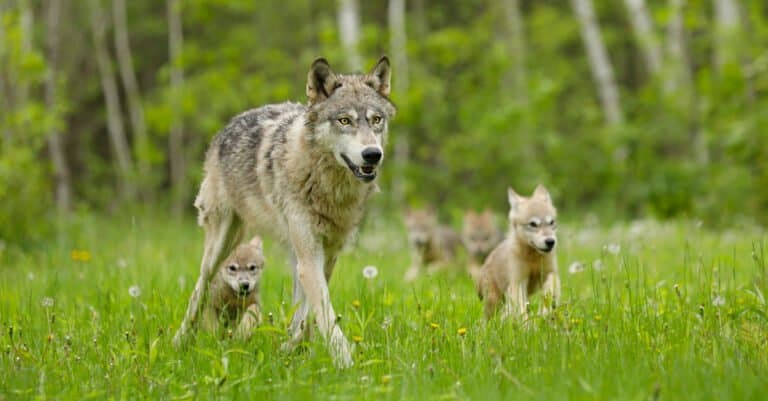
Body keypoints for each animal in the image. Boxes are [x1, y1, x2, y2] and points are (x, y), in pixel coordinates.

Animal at [172, 57, 395, 368]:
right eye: (344, 120)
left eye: (376, 120)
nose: (372, 154)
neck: (327, 186)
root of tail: (230, 124)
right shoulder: (310, 256)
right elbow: (325, 315)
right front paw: (346, 364)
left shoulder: (326, 256)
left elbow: (309, 316)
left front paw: (291, 350)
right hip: (221, 245)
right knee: (199, 289)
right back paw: (180, 341)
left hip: (292, 253)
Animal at [478, 185, 561, 320]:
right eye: (533, 224)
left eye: (552, 222)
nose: (550, 241)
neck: (533, 258)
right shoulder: (518, 281)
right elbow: (522, 311)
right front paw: (527, 324)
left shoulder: (549, 274)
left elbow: (547, 297)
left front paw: (544, 314)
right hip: (494, 301)